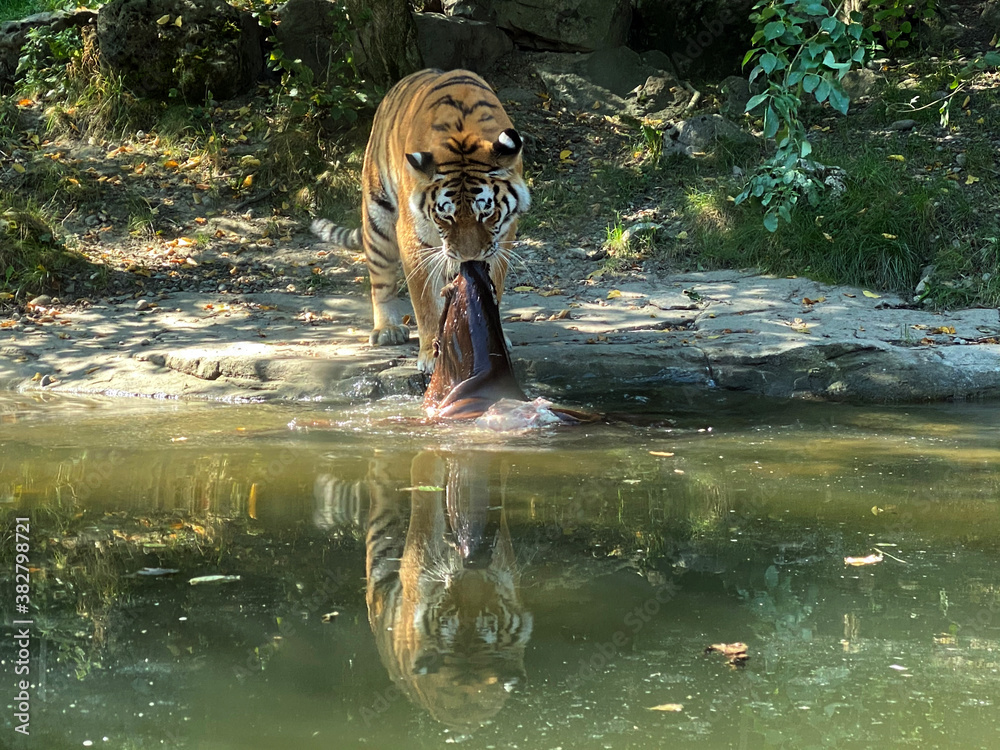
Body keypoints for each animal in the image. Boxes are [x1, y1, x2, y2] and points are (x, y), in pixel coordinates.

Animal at [311, 68, 530, 374]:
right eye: (446, 216)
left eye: (486, 213)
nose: (468, 257)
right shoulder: (413, 235)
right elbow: (425, 300)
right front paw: (431, 354)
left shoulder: (504, 236)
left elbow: (493, 286)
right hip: (379, 218)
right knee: (381, 280)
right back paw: (388, 329)